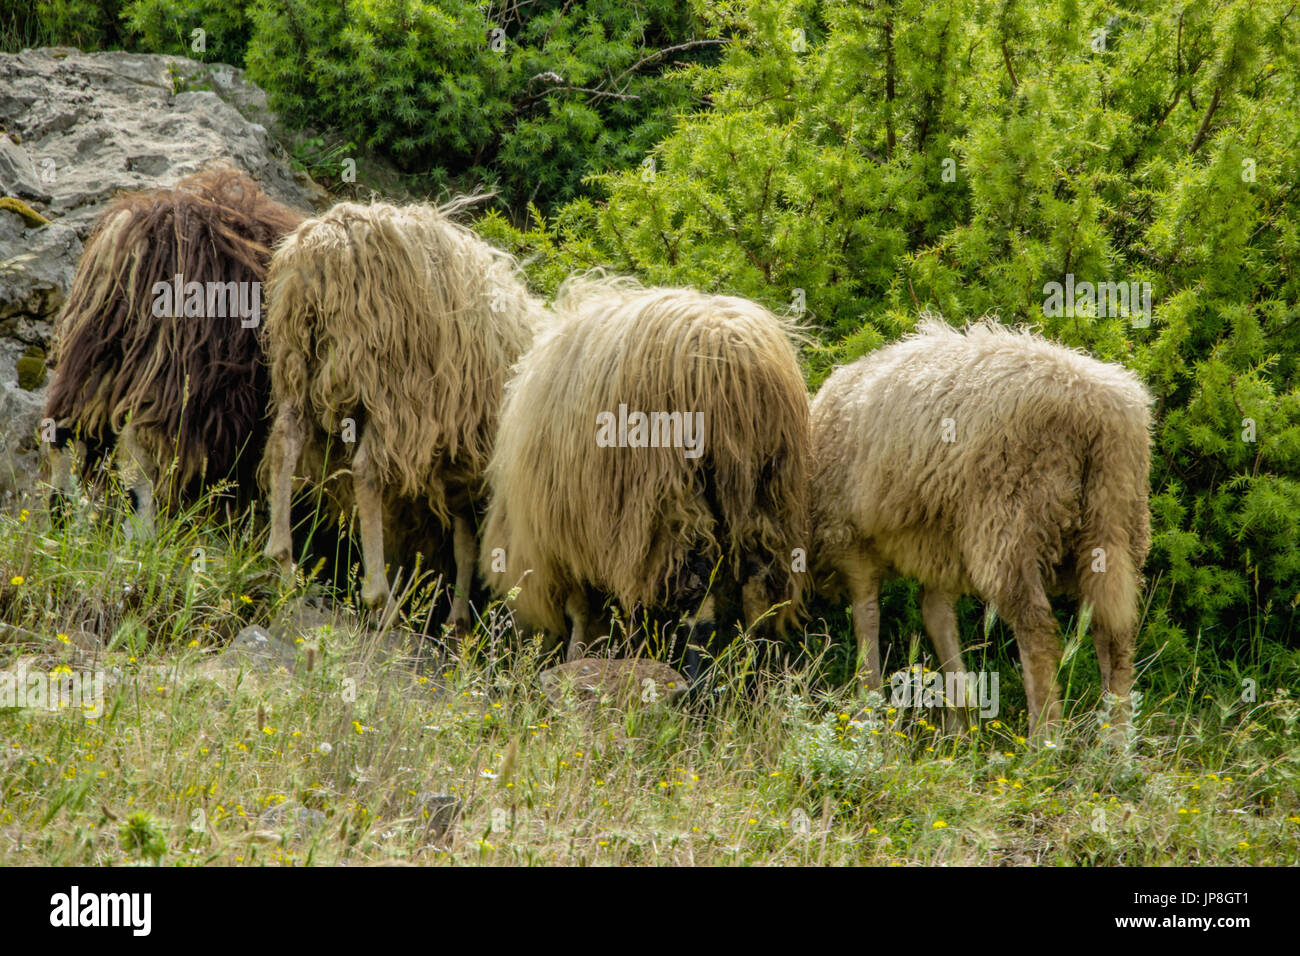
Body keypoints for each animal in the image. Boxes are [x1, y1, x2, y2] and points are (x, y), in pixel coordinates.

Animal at [260, 199, 546, 629]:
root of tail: (334, 238)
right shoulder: (472, 466)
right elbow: (468, 544)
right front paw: (458, 618)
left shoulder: (459, 467)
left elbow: (463, 542)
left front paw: (456, 619)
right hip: (392, 383)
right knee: (366, 471)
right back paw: (381, 599)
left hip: (297, 356)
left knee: (285, 439)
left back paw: (282, 559)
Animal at [480, 276, 810, 681]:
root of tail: (725, 358)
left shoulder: (573, 542)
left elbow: (583, 610)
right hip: (764, 492)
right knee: (756, 586)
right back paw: (752, 678)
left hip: (670, 495)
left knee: (697, 592)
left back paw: (697, 681)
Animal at [809, 318, 1152, 736]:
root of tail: (1095, 412)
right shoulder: (939, 547)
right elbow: (937, 617)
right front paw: (959, 720)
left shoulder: (849, 537)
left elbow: (867, 614)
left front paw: (867, 707)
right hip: (1117, 520)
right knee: (1114, 633)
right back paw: (1116, 740)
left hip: (1010, 522)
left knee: (1037, 631)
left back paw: (1044, 739)